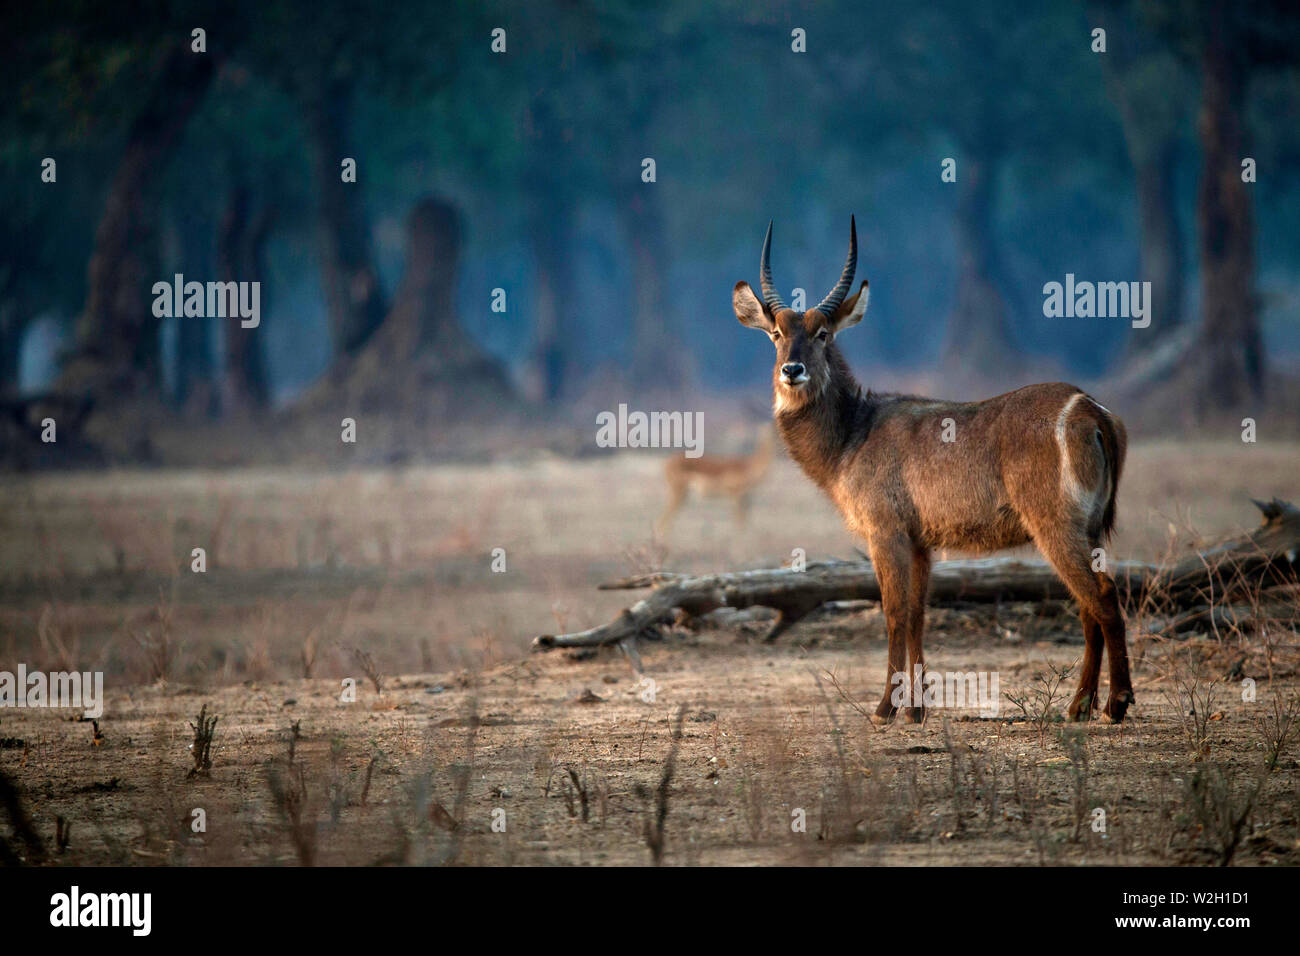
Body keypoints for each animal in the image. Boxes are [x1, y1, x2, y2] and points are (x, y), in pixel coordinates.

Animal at [733, 218, 1134, 724]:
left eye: (823, 332)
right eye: (774, 333)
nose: (792, 369)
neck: (853, 431)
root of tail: (1091, 410)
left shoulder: (884, 532)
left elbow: (893, 613)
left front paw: (885, 707)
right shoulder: (921, 541)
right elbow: (918, 615)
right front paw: (917, 709)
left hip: (1055, 525)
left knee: (1101, 595)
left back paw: (1116, 704)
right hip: (1091, 527)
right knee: (1089, 605)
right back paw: (1080, 706)